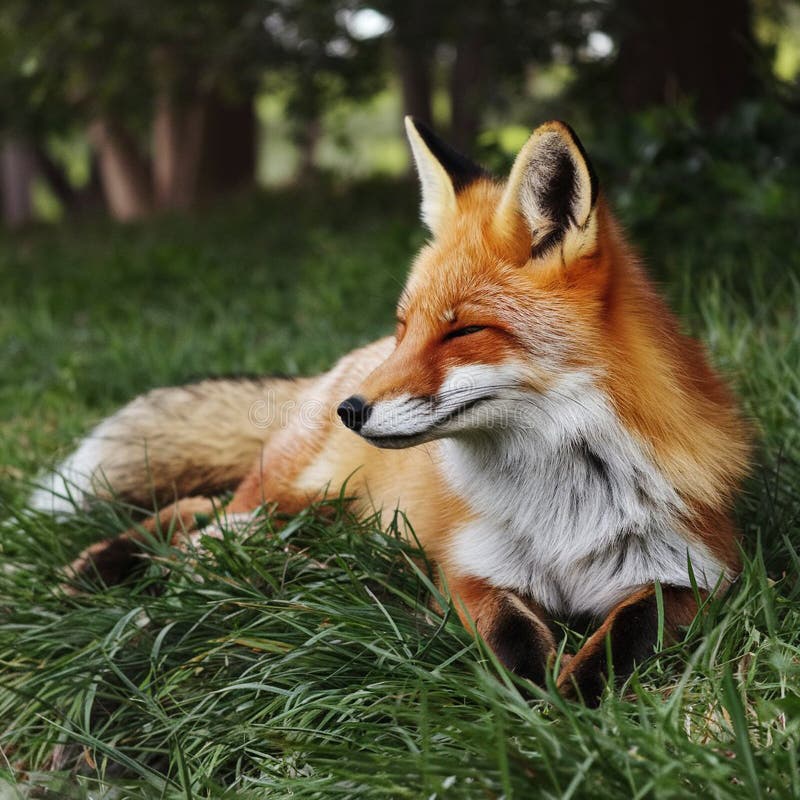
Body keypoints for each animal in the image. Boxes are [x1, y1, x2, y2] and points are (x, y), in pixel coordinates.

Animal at [31, 118, 750, 705]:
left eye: (463, 332)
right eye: (407, 326)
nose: (351, 410)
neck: (559, 505)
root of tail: (338, 367)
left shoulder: (697, 572)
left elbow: (628, 637)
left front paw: (574, 703)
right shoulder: (471, 571)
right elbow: (513, 640)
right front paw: (532, 706)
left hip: (320, 514)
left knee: (203, 516)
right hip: (289, 499)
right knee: (198, 518)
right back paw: (100, 568)